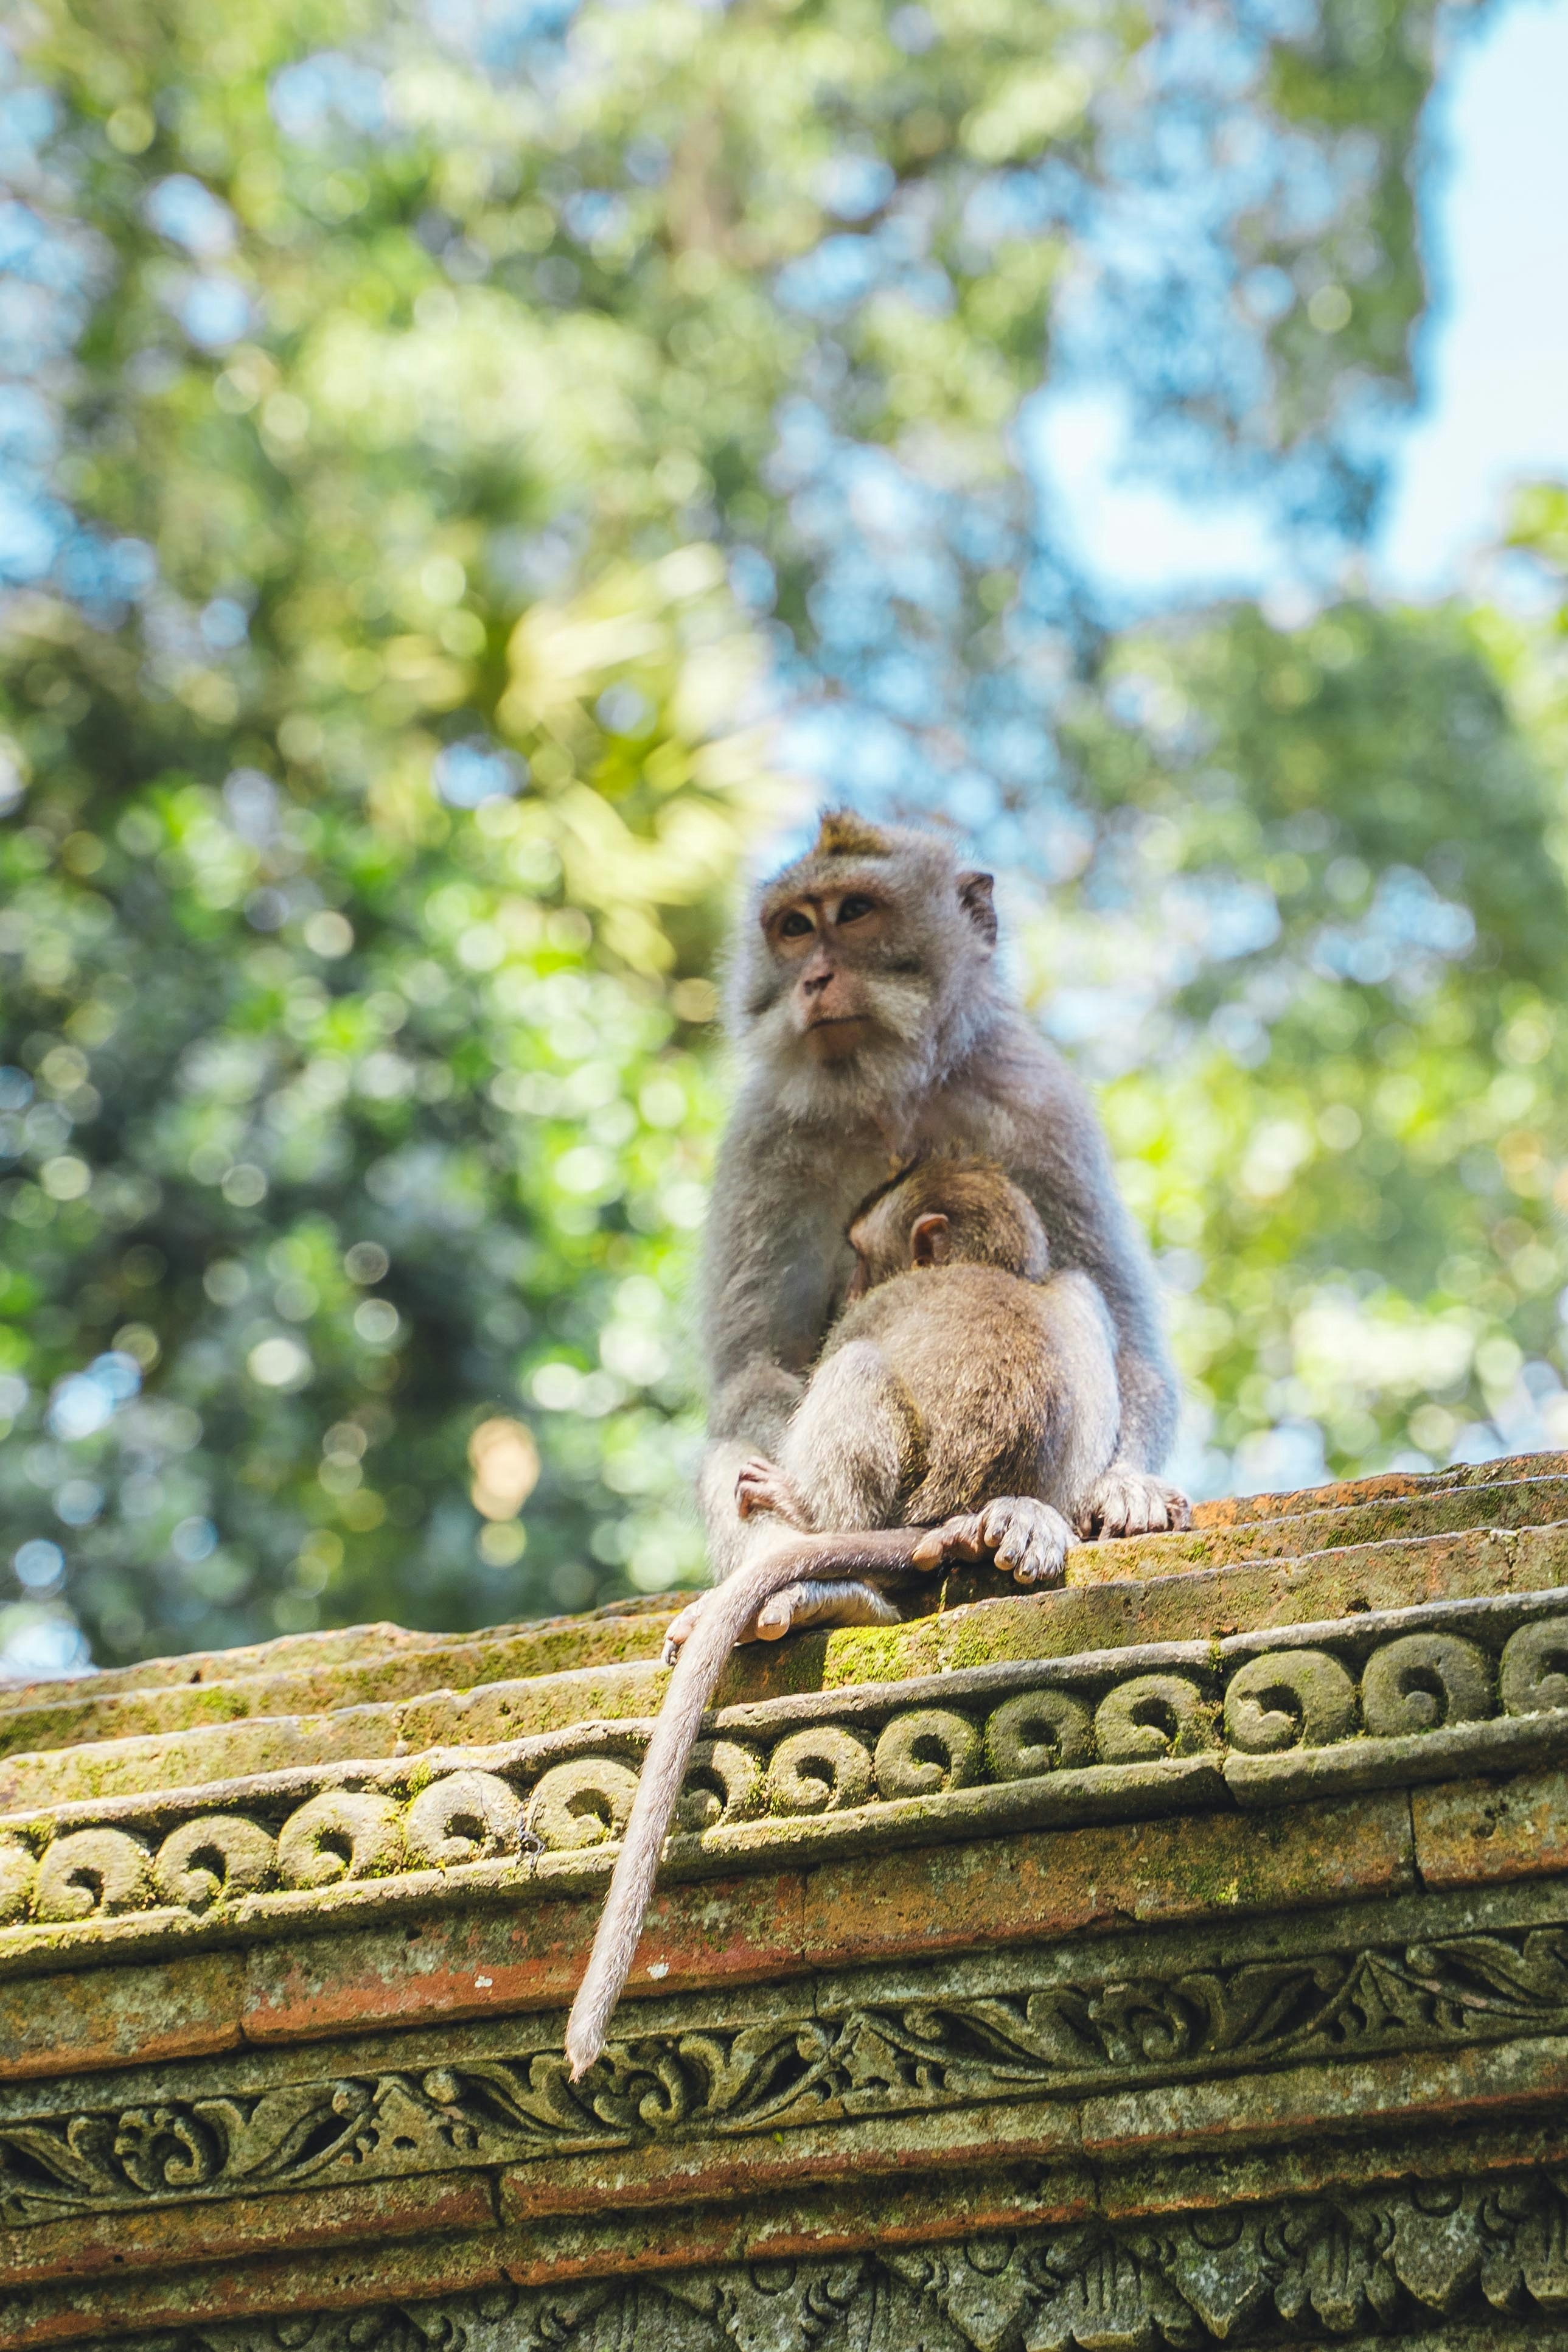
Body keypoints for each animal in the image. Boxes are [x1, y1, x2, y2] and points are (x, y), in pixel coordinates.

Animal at [563, 1155, 1121, 2080]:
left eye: (863, 1255)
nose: (845, 1286)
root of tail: (944, 1511)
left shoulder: (881, 1307)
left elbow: (853, 1348)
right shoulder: (1065, 1290)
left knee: (854, 1369)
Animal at [695, 808, 1188, 1646]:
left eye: (855, 912)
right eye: (794, 927)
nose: (813, 978)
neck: (888, 1089)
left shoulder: (1037, 1101)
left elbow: (1131, 1335)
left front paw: (1130, 1486)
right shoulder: (764, 1142)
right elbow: (757, 1363)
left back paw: (1021, 1516)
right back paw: (815, 1586)